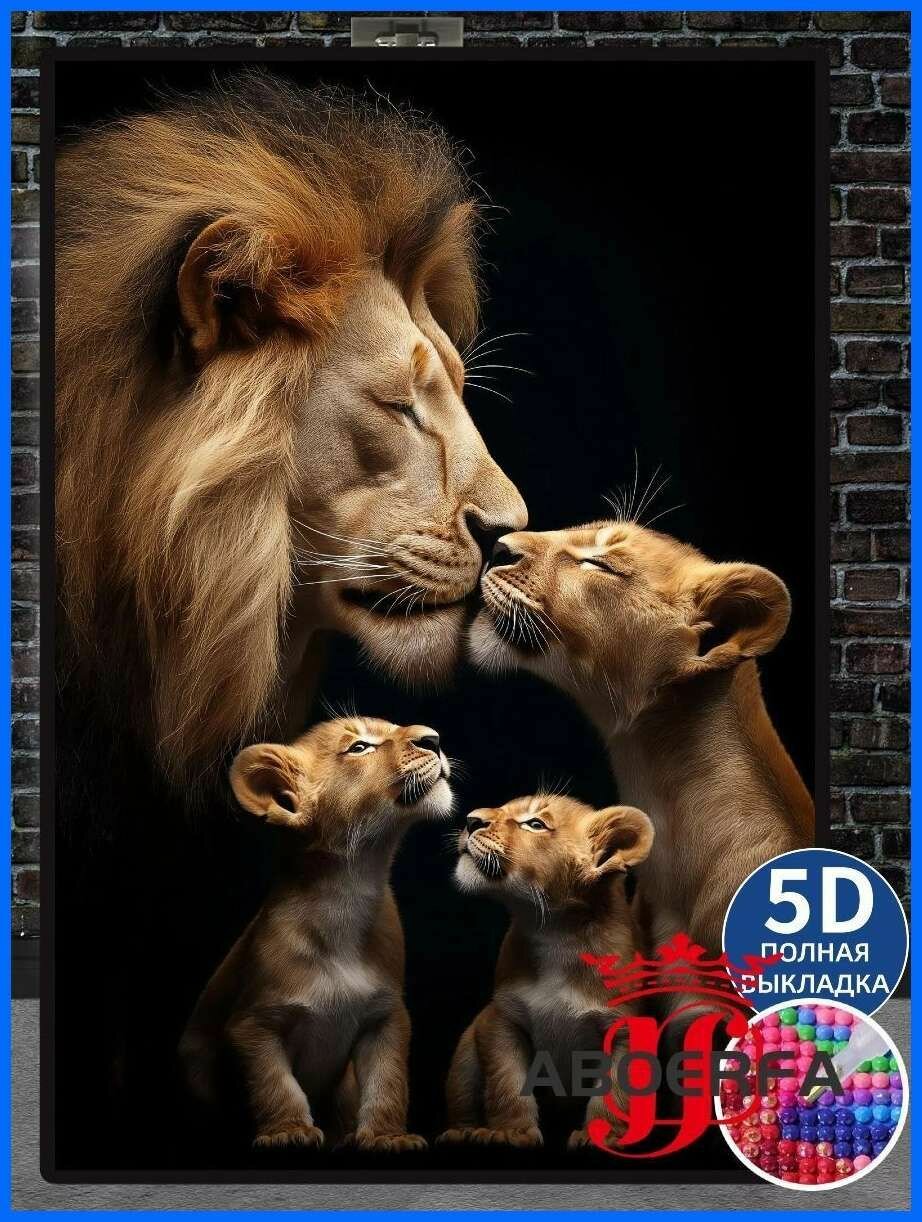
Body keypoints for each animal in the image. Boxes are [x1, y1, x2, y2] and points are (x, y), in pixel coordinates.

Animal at [180, 716, 452, 1153]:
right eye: (359, 747)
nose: (434, 739)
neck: (349, 889)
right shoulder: (252, 1023)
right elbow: (275, 1084)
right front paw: (288, 1131)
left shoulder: (386, 1016)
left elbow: (387, 1081)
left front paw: (387, 1136)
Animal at [438, 795, 653, 1151]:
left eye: (535, 824)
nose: (471, 820)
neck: (556, 933)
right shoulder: (503, 1019)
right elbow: (507, 1083)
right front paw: (511, 1132)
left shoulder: (626, 1028)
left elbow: (614, 1092)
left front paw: (602, 1135)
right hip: (468, 1046)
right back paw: (461, 1132)